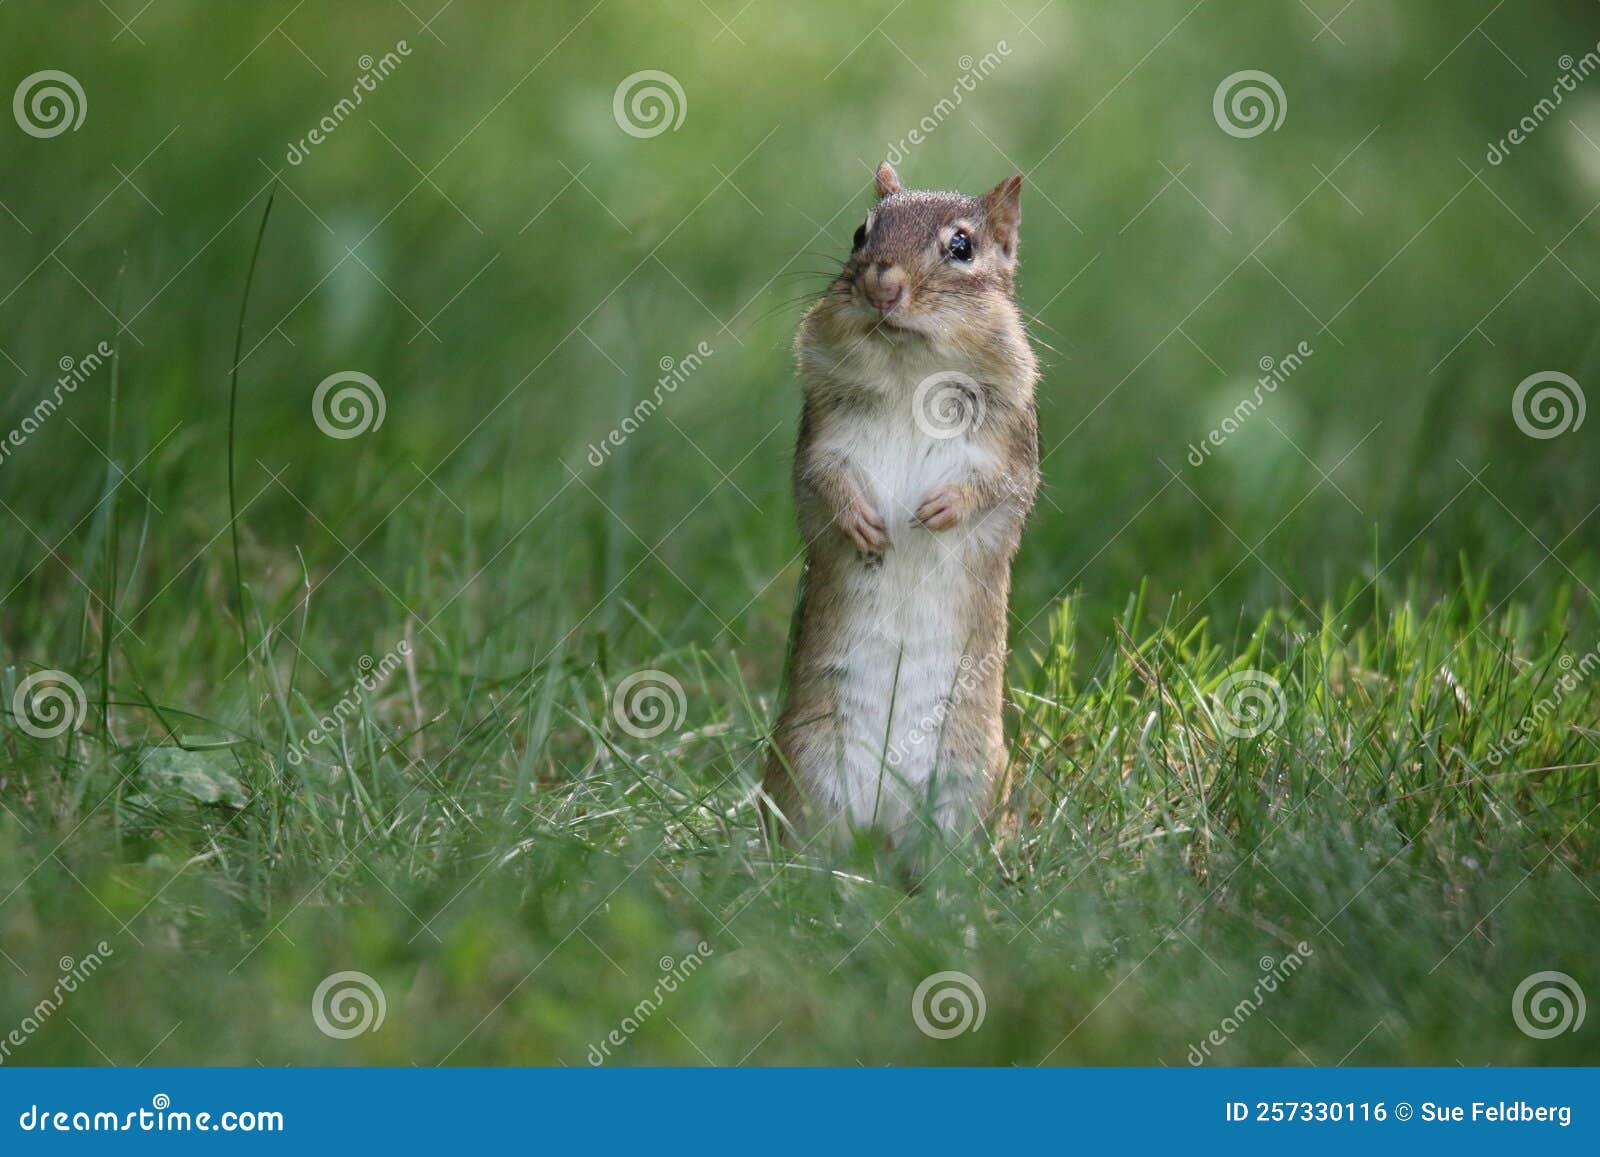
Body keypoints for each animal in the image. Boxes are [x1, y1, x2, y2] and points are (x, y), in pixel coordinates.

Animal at [762, 161, 1040, 852]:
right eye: (861, 231)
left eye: (962, 246)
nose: (882, 285)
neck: (911, 368)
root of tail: (883, 830)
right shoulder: (825, 434)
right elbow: (823, 477)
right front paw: (858, 521)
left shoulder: (1011, 444)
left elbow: (998, 485)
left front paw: (943, 509)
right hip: (805, 768)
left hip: (970, 778)